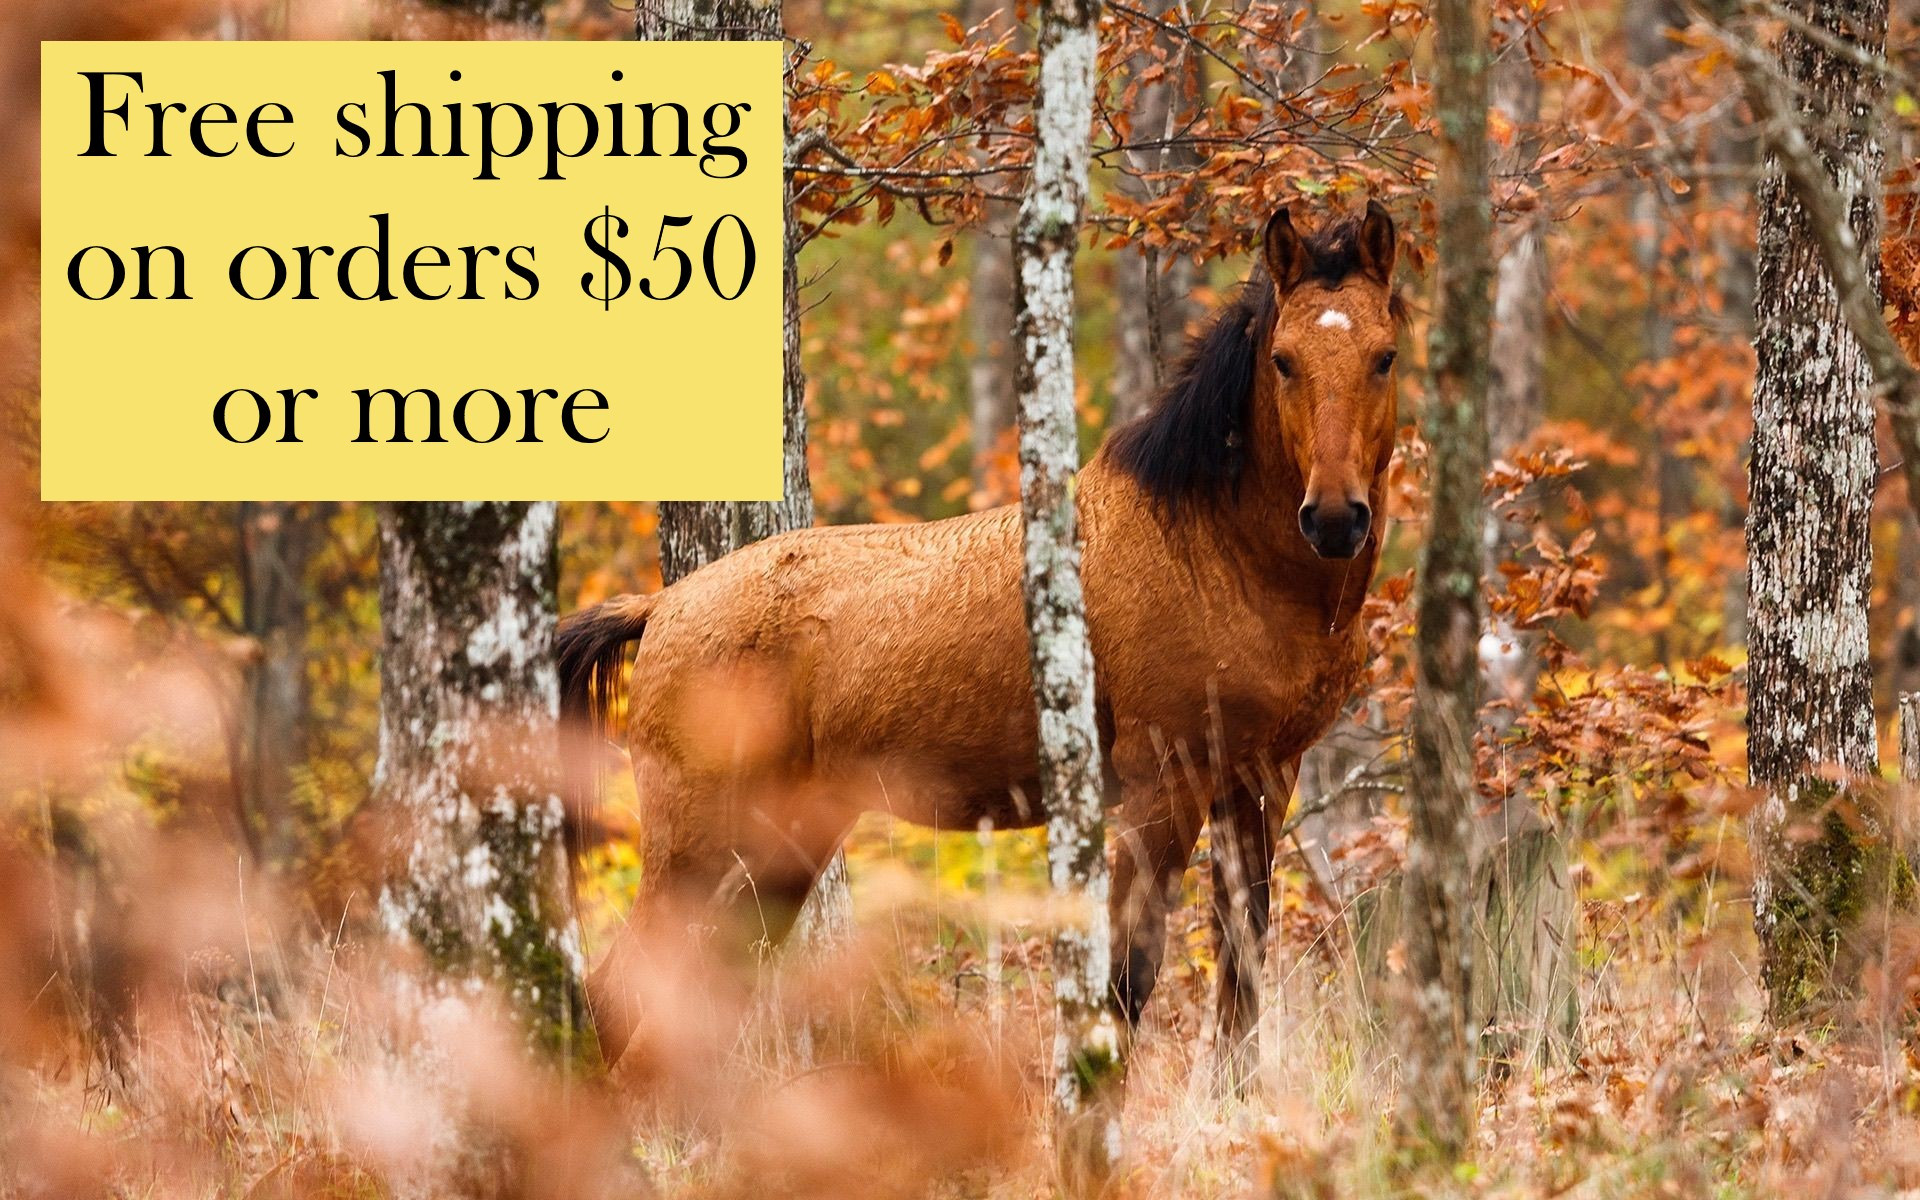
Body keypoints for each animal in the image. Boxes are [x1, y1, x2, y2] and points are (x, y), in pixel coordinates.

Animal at [558, 199, 1402, 1086]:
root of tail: (661, 606)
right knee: (621, 996)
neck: (1212, 549)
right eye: (1283, 361)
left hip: (779, 846)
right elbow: (1127, 977)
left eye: (1383, 356)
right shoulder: (1161, 784)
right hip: (699, 847)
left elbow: (1242, 970)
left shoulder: (1261, 778)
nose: (1335, 518)